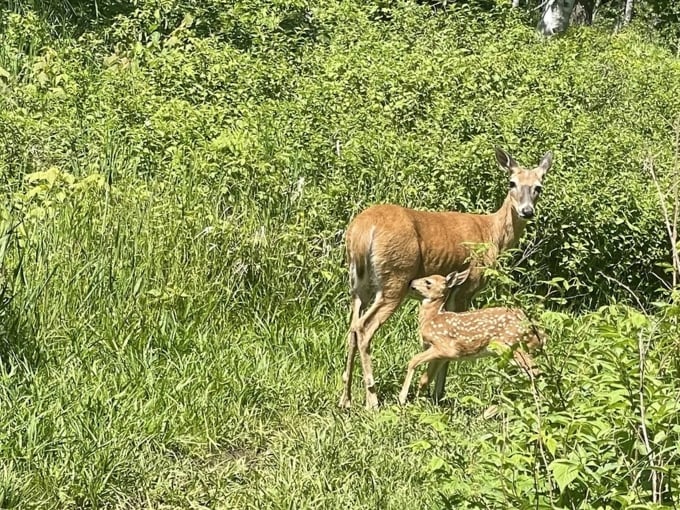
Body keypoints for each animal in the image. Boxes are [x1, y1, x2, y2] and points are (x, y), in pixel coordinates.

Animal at [398, 269, 544, 405]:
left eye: (428, 282)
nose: (411, 282)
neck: (431, 318)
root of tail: (535, 330)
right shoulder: (442, 356)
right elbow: (426, 379)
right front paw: (427, 401)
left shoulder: (445, 347)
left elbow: (413, 361)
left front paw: (403, 399)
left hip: (512, 345)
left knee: (534, 371)